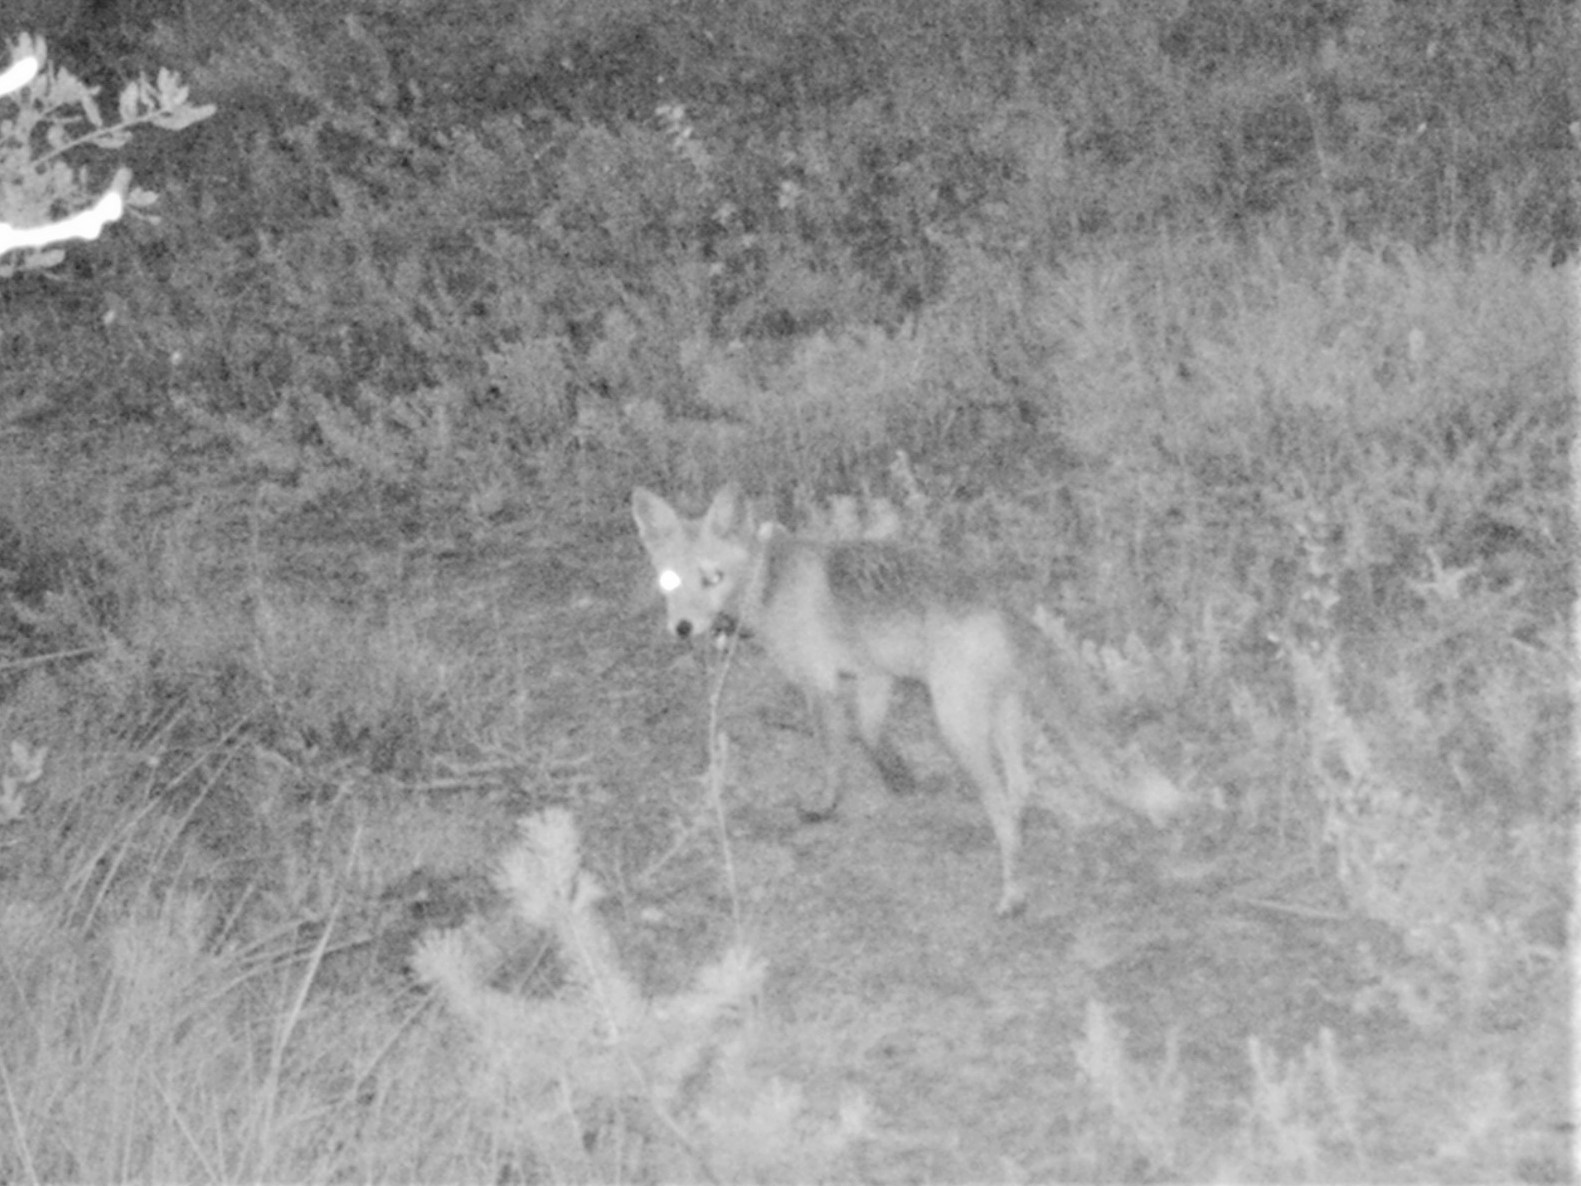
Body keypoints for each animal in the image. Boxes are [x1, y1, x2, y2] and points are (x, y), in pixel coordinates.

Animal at [631, 484, 1181, 917]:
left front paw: (826, 806)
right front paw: (901, 779)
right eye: (669, 580)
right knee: (1019, 792)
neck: (769, 580)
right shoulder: (876, 677)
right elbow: (872, 735)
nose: (682, 628)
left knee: (1003, 809)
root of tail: (1001, 601)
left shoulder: (820, 685)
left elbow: (834, 758)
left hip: (956, 727)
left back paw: (1012, 892)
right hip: (1001, 717)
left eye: (712, 578)